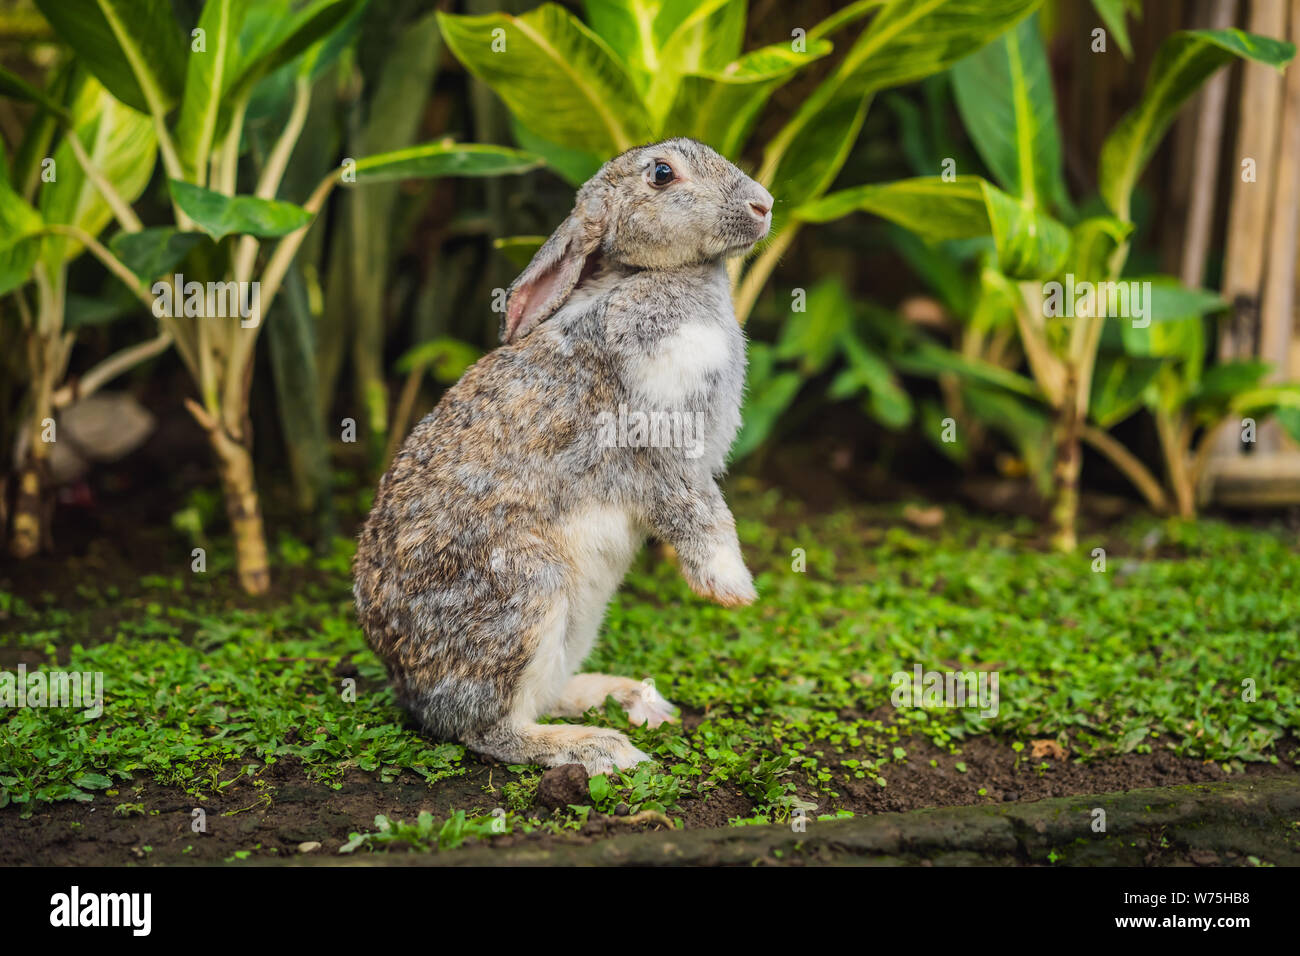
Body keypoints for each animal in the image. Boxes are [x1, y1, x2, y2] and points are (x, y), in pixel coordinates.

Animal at [353, 137, 773, 775]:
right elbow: (700, 516)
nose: (763, 204)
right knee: (485, 728)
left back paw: (625, 697)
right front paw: (733, 591)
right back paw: (600, 747)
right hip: (528, 595)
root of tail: (403, 676)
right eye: (661, 174)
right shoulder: (658, 446)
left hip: (577, 615)